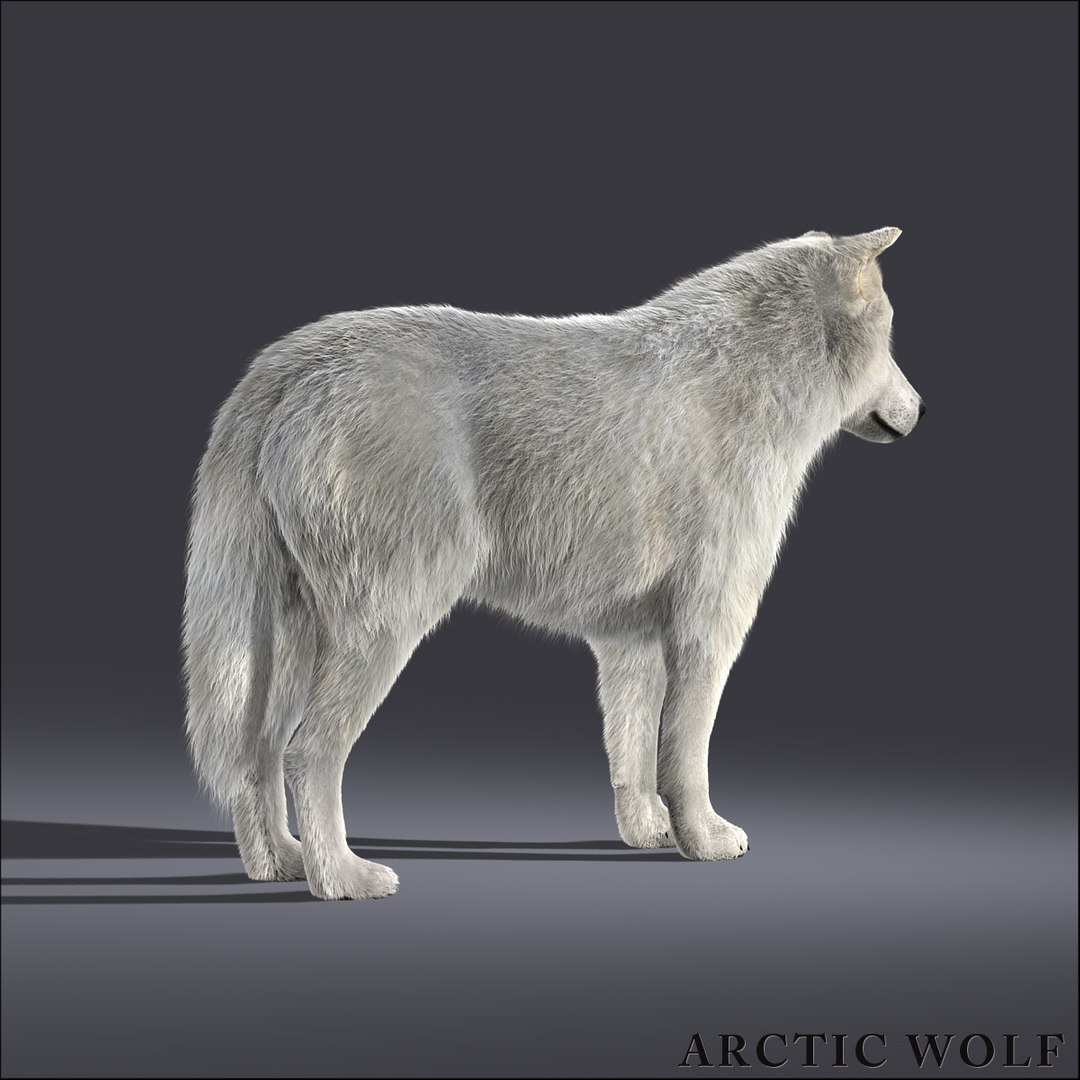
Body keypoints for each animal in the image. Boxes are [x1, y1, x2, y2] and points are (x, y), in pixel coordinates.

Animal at [182, 228, 923, 900]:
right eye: (891, 332)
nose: (920, 406)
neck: (757, 378)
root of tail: (291, 362)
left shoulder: (630, 642)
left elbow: (632, 752)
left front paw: (649, 832)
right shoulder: (707, 627)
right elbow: (686, 755)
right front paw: (705, 839)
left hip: (287, 637)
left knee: (257, 751)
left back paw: (281, 862)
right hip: (381, 625)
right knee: (309, 753)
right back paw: (341, 877)